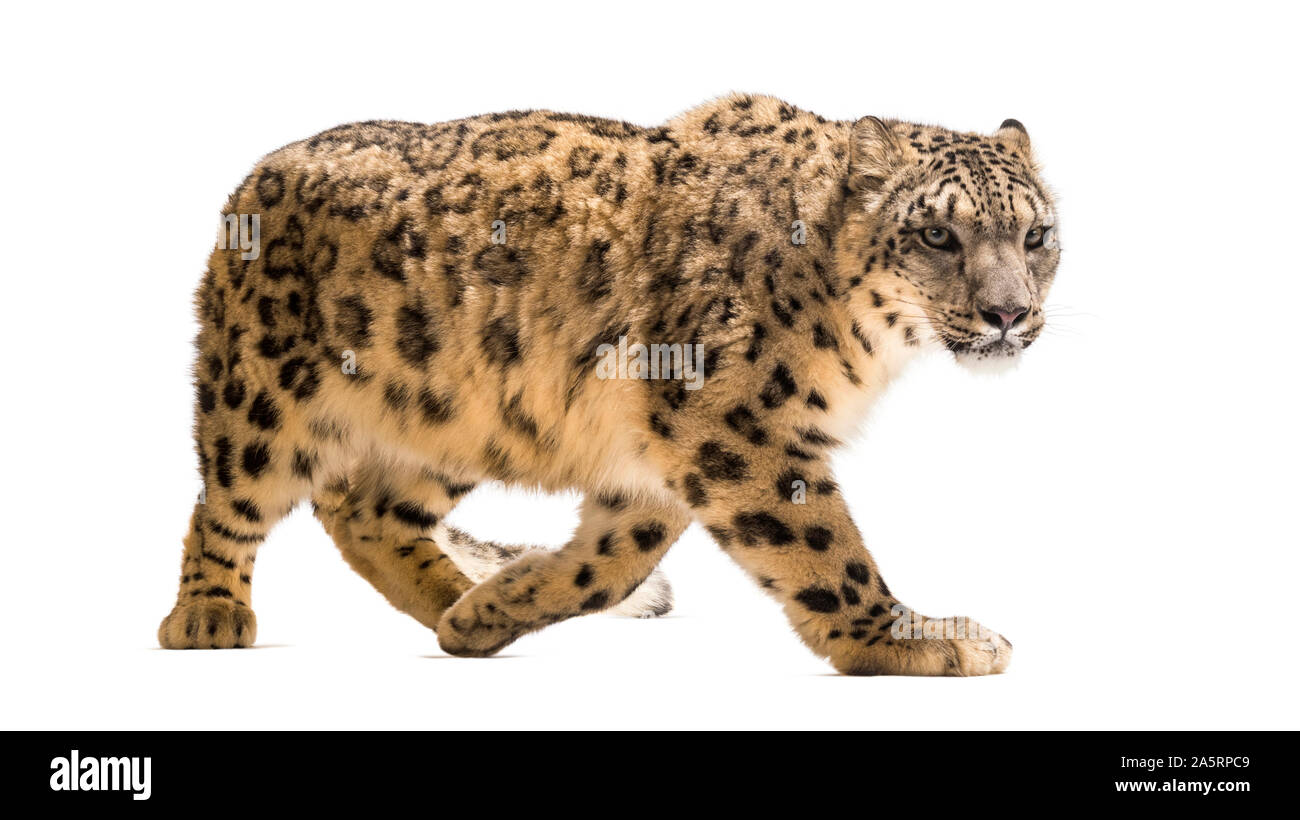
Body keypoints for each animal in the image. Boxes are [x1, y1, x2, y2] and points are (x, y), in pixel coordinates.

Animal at [158, 93, 1059, 675]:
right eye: (938, 234)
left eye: (1037, 233)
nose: (1009, 313)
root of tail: (251, 179)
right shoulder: (732, 421)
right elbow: (821, 545)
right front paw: (914, 637)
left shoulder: (666, 449)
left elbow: (614, 559)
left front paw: (500, 606)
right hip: (260, 396)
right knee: (225, 500)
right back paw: (207, 615)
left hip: (450, 418)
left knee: (365, 512)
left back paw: (460, 605)